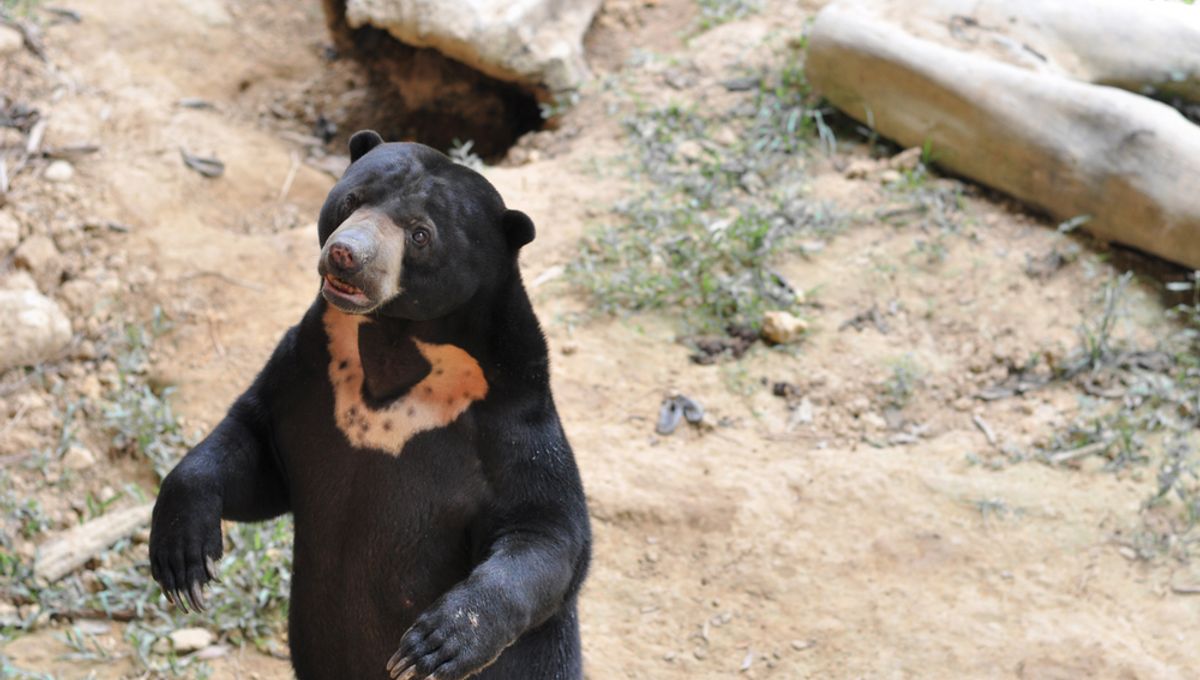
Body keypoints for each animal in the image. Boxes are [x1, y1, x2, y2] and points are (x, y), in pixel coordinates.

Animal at [149, 131, 592, 680]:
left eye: (421, 234)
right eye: (352, 200)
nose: (345, 255)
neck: (393, 340)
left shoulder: (510, 421)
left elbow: (548, 530)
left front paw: (435, 644)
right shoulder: (306, 368)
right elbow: (254, 454)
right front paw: (182, 559)